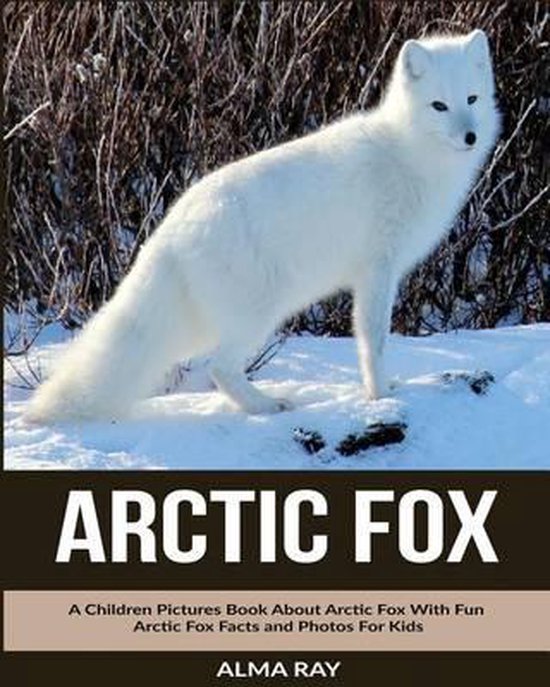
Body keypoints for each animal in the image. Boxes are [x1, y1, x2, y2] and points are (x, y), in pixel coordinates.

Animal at [27, 29, 500, 422]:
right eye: (438, 106)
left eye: (472, 99)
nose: (470, 137)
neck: (408, 151)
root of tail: (170, 228)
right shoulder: (376, 270)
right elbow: (374, 339)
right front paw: (380, 394)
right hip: (259, 311)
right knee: (220, 368)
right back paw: (267, 406)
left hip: (201, 323)